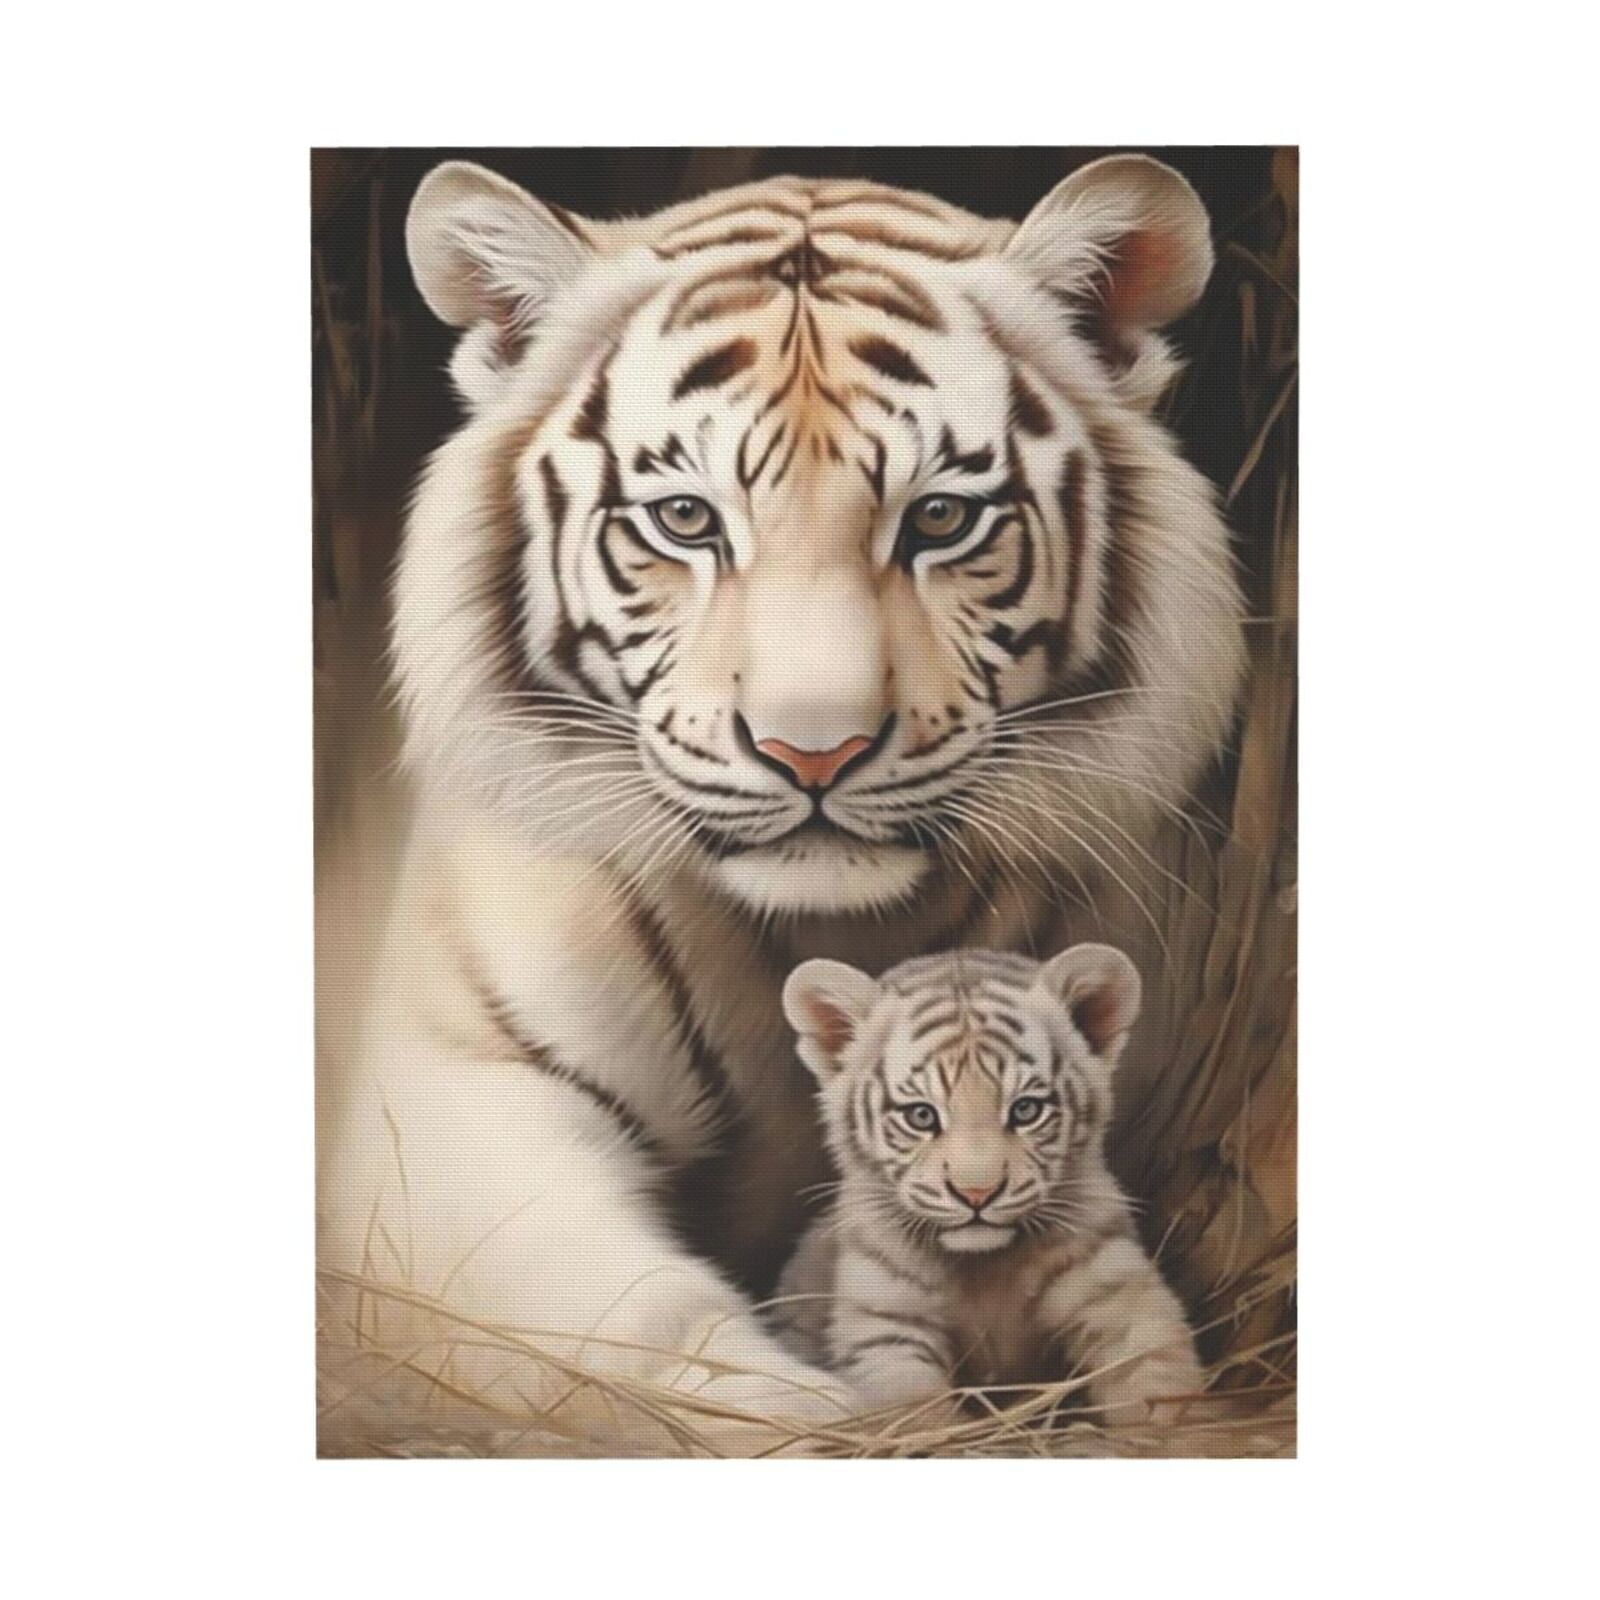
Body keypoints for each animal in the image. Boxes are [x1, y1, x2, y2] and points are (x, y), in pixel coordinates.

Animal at [775, 944, 1204, 1427]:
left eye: (1026, 1109)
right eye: (920, 1115)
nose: (976, 1193)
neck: (984, 1266)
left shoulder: (1114, 1289)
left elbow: (1155, 1372)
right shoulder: (887, 1324)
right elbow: (917, 1412)